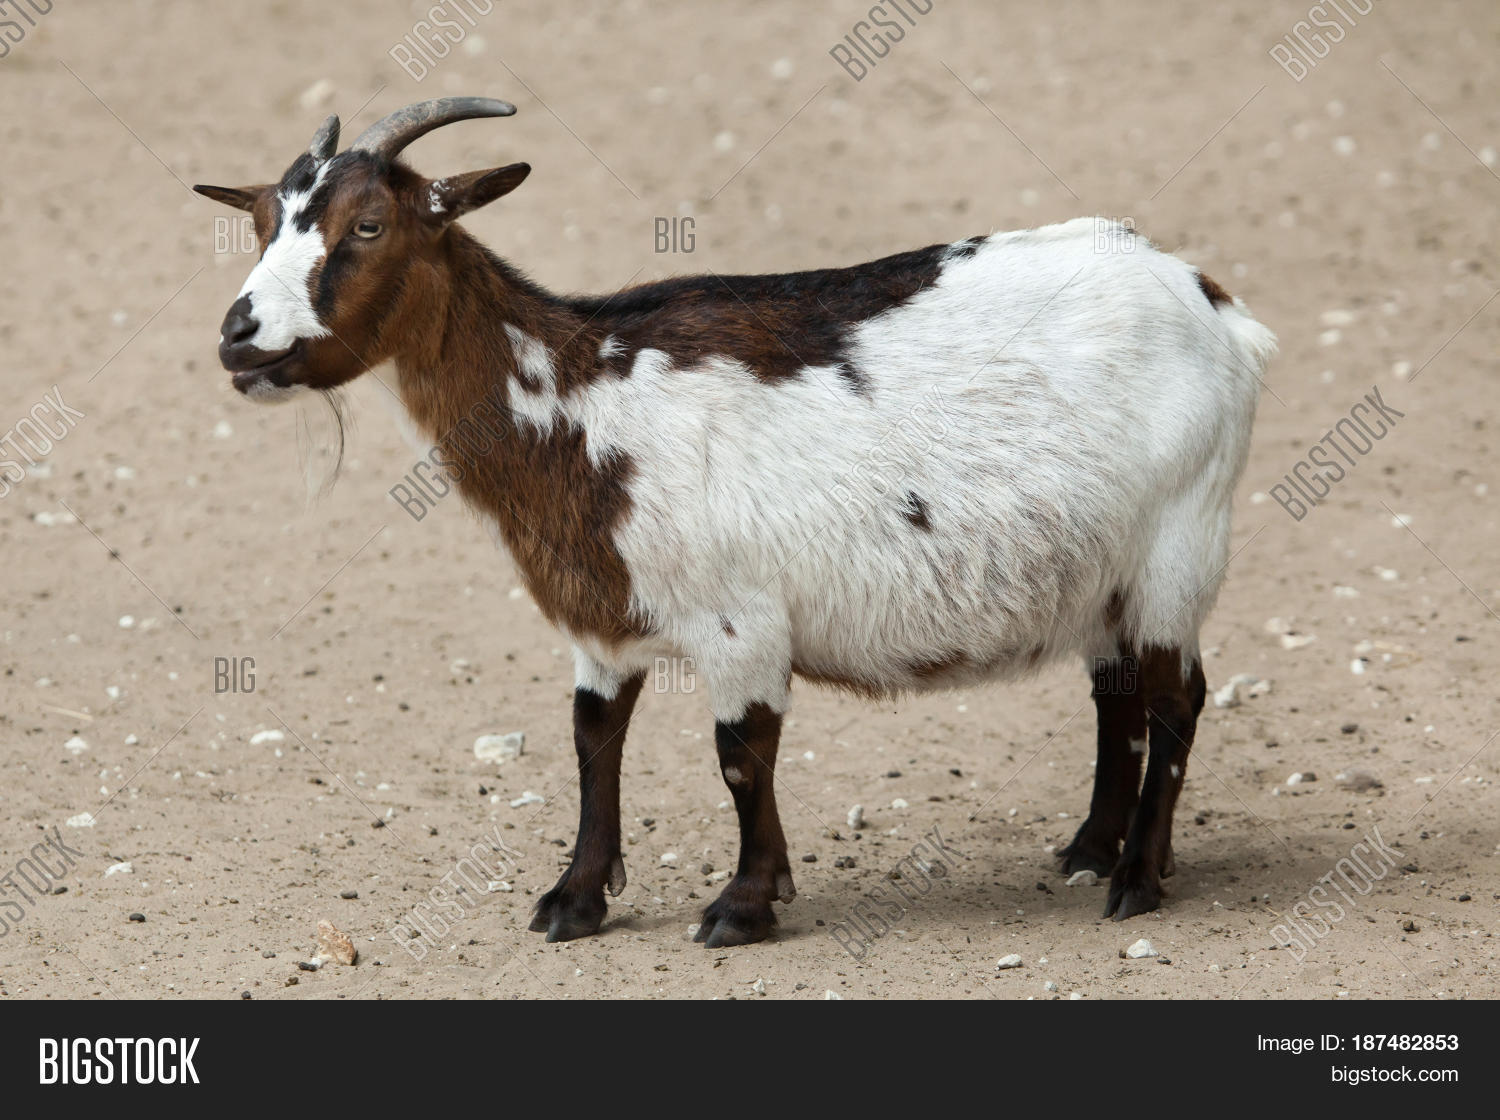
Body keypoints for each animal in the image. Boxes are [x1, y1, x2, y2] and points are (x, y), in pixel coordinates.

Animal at [196, 98, 1277, 946]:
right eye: (263, 222)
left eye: (370, 225)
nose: (239, 335)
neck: (587, 398)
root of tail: (1214, 303)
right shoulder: (601, 621)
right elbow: (593, 740)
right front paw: (574, 899)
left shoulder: (740, 623)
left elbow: (738, 757)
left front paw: (743, 906)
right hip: (1101, 570)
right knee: (1117, 694)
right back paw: (1088, 851)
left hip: (1177, 545)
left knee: (1177, 699)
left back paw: (1137, 878)